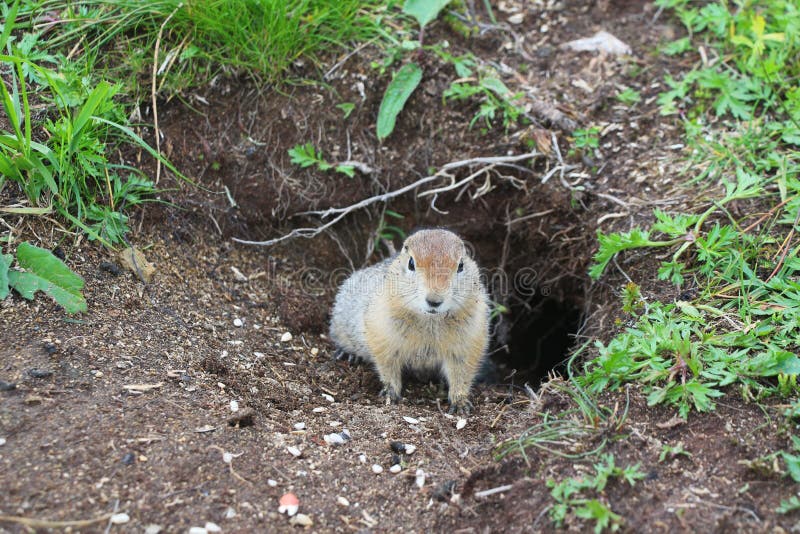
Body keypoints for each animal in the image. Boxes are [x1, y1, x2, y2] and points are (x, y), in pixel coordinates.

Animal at [329, 228, 490, 414]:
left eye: (461, 265)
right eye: (411, 263)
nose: (434, 300)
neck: (430, 319)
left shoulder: (468, 344)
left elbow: (462, 374)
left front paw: (460, 403)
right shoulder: (383, 335)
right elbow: (387, 366)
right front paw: (390, 393)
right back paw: (348, 354)